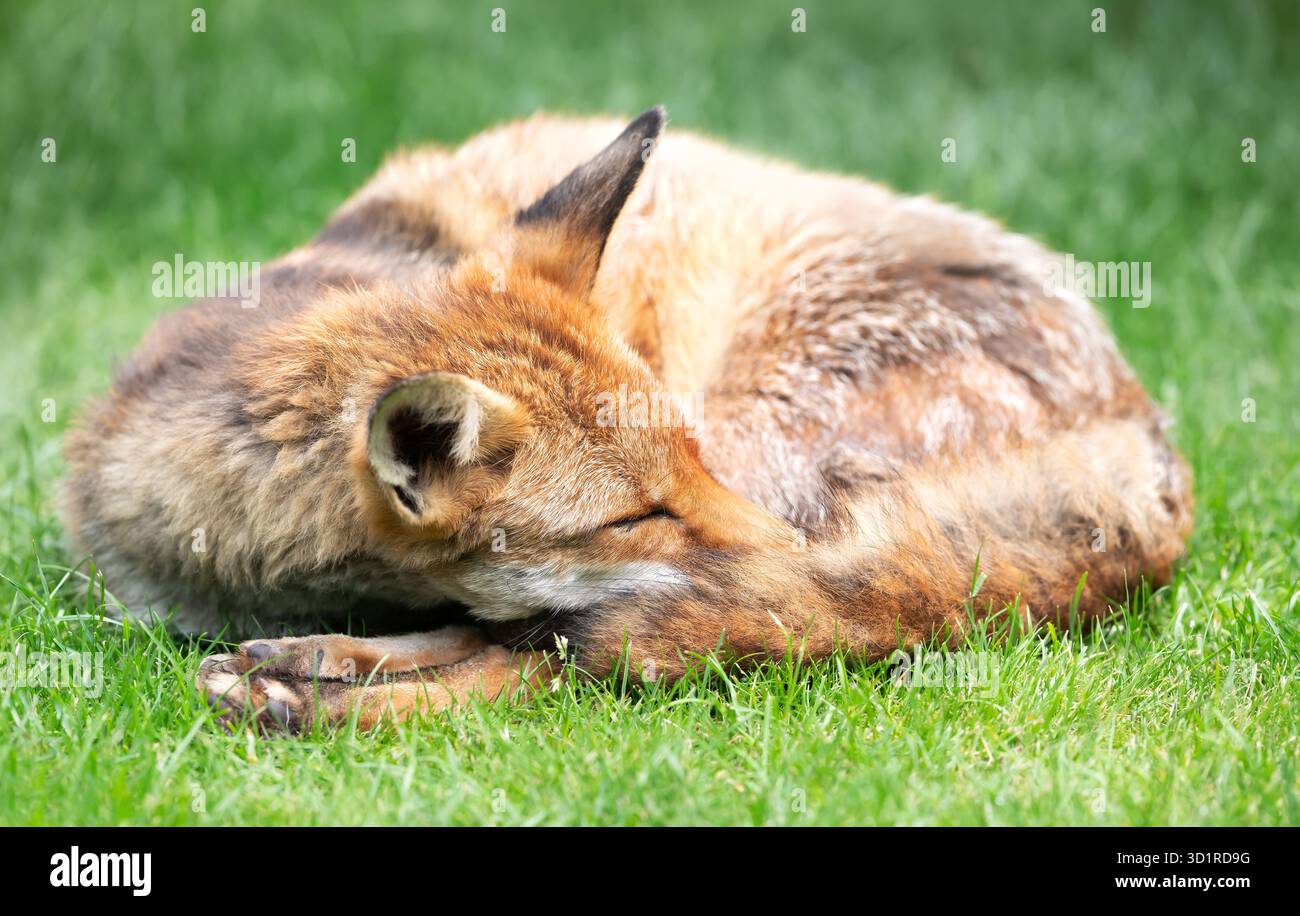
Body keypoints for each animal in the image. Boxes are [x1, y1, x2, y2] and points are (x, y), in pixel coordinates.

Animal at [60, 107, 1192, 730]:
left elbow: (526, 645)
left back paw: (314, 693)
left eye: (691, 461)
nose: (793, 548)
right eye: (637, 513)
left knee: (573, 655)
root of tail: (1147, 446)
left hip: (768, 435)